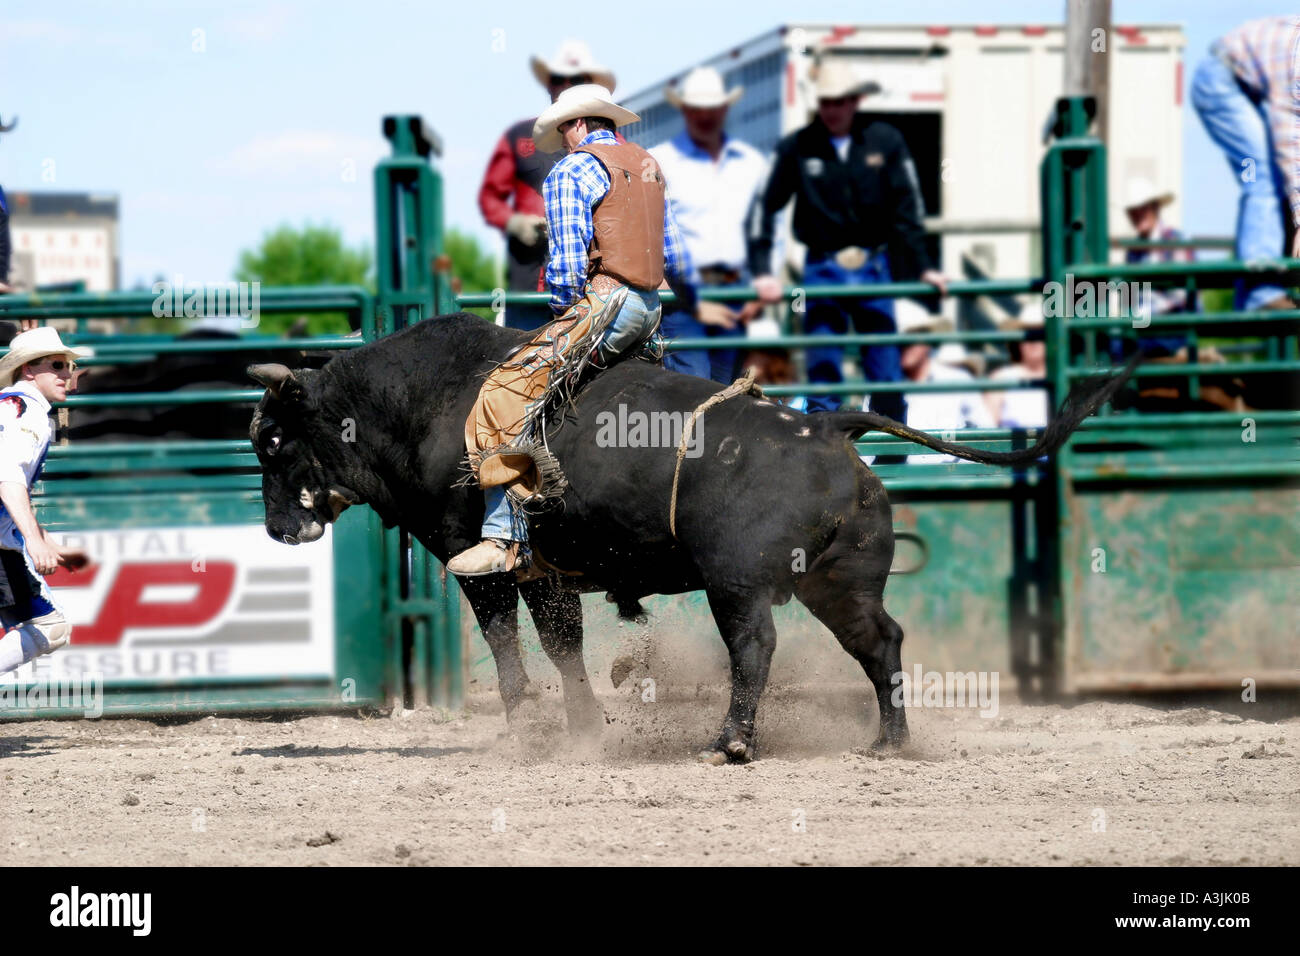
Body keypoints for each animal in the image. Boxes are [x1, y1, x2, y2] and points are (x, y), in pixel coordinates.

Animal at [247, 312, 1135, 763]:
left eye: (273, 442)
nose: (279, 527)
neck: (423, 402)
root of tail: (824, 426)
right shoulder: (550, 572)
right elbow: (564, 644)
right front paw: (582, 732)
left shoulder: (478, 563)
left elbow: (509, 649)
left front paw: (528, 735)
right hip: (840, 580)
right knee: (880, 642)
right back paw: (889, 742)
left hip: (735, 583)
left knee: (754, 649)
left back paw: (732, 742)